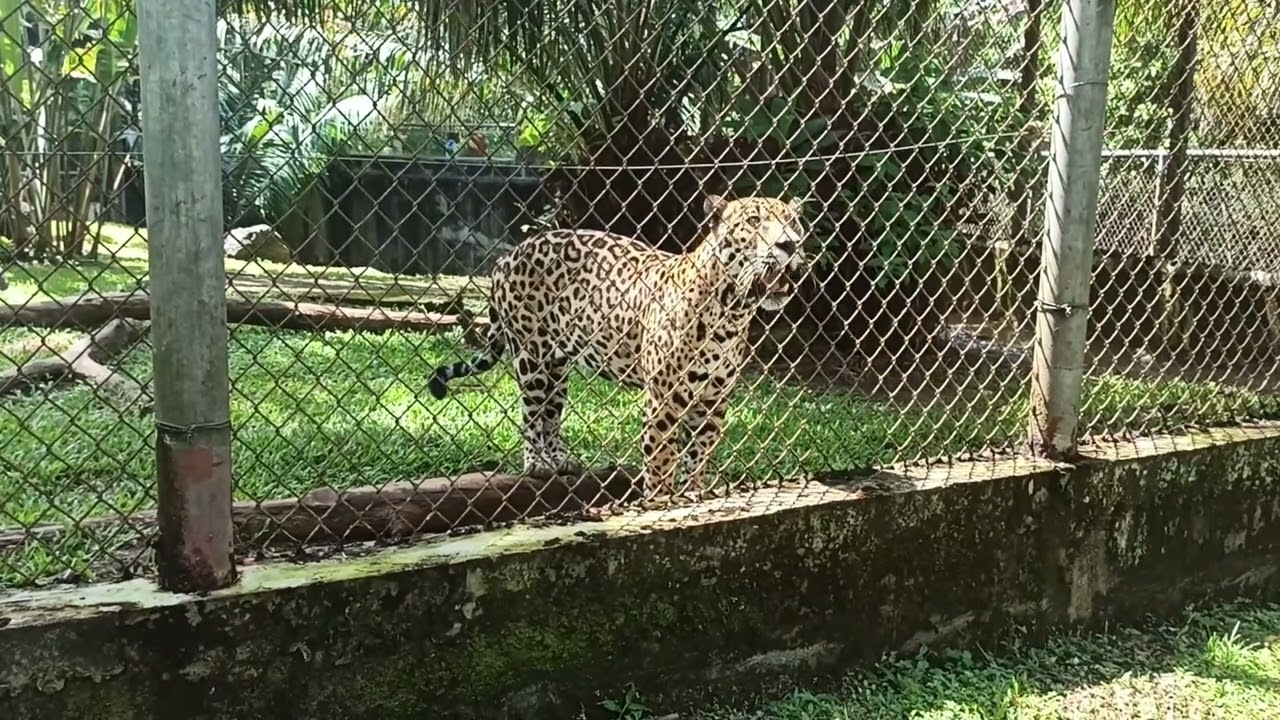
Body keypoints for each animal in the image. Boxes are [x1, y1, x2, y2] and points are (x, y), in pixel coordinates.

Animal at [427, 193, 807, 496]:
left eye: (792, 223)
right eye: (755, 222)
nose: (790, 244)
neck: (731, 311)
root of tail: (508, 256)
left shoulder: (712, 401)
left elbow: (698, 455)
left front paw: (693, 493)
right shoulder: (663, 397)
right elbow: (661, 456)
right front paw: (660, 500)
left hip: (557, 364)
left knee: (550, 412)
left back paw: (561, 459)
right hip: (529, 355)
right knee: (532, 412)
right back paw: (537, 463)